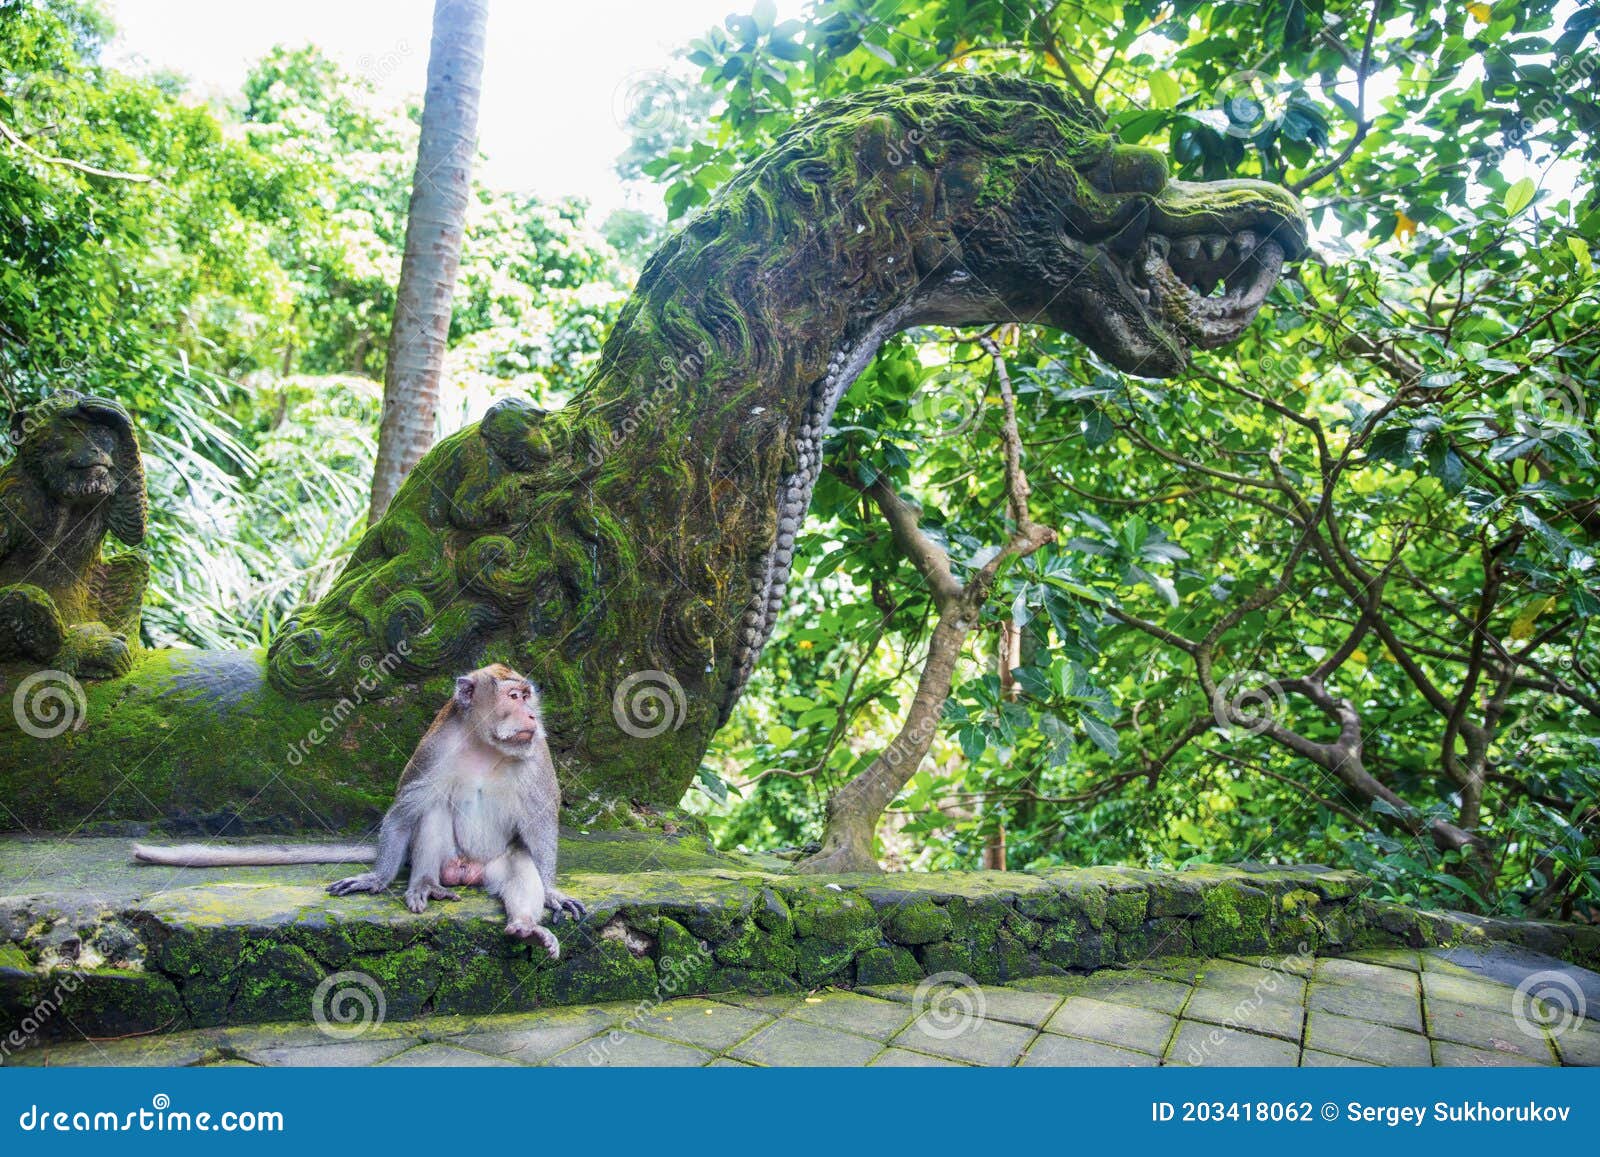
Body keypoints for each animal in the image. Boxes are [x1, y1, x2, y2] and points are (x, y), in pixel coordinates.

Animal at [132, 664, 585, 958]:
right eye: (513, 696)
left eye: (527, 696)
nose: (531, 714)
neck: (484, 743)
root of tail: (468, 872)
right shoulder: (435, 746)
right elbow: (405, 807)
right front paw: (378, 878)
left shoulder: (536, 752)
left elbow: (541, 822)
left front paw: (553, 893)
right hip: (448, 860)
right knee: (432, 809)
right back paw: (424, 884)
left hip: (492, 865)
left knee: (519, 865)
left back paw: (525, 926)